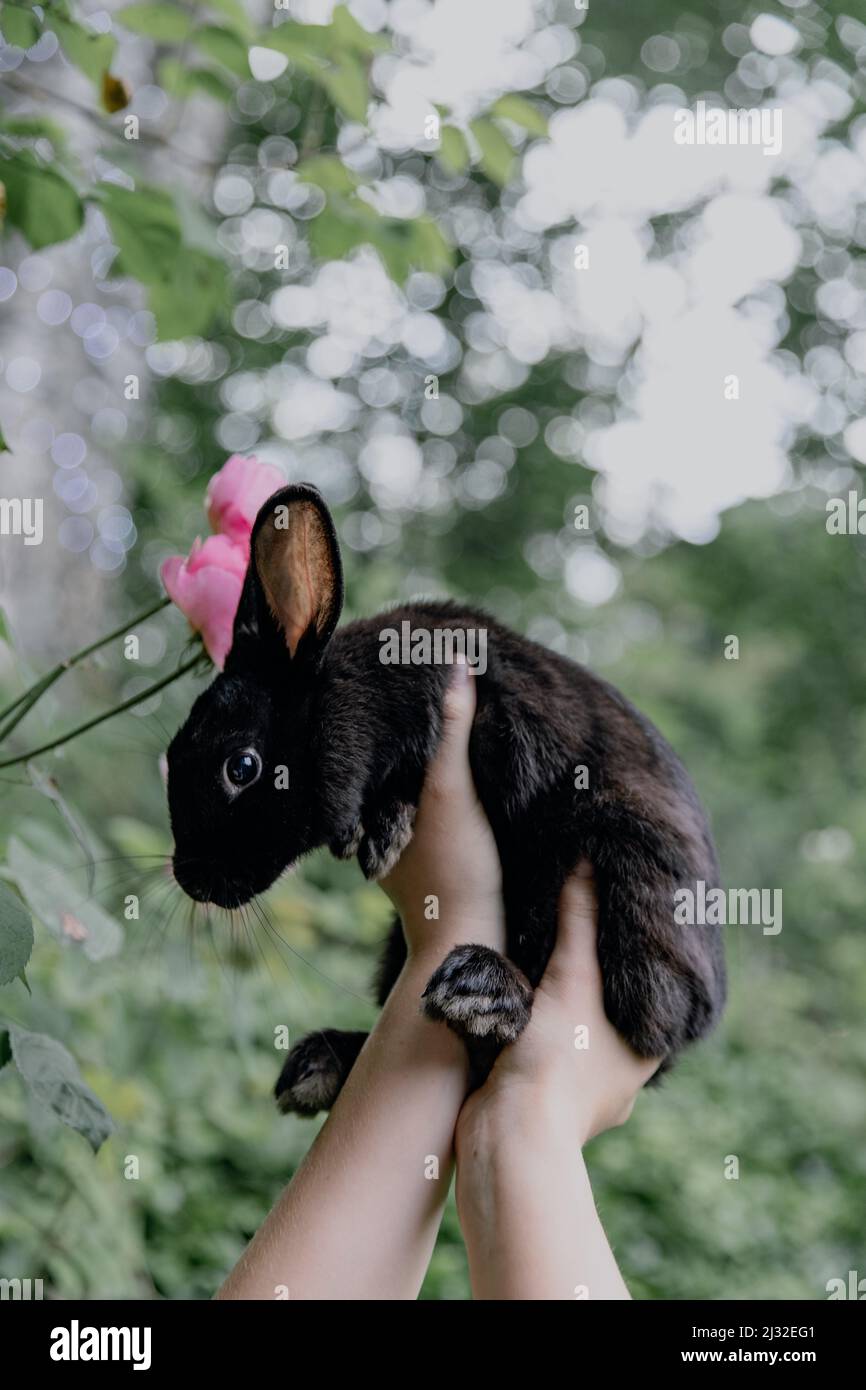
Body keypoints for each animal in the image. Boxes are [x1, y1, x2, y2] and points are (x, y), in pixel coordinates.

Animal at [166, 483, 726, 1116]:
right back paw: (318, 1067)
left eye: (241, 767)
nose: (191, 880)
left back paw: (481, 989)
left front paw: (381, 832)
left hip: (633, 884)